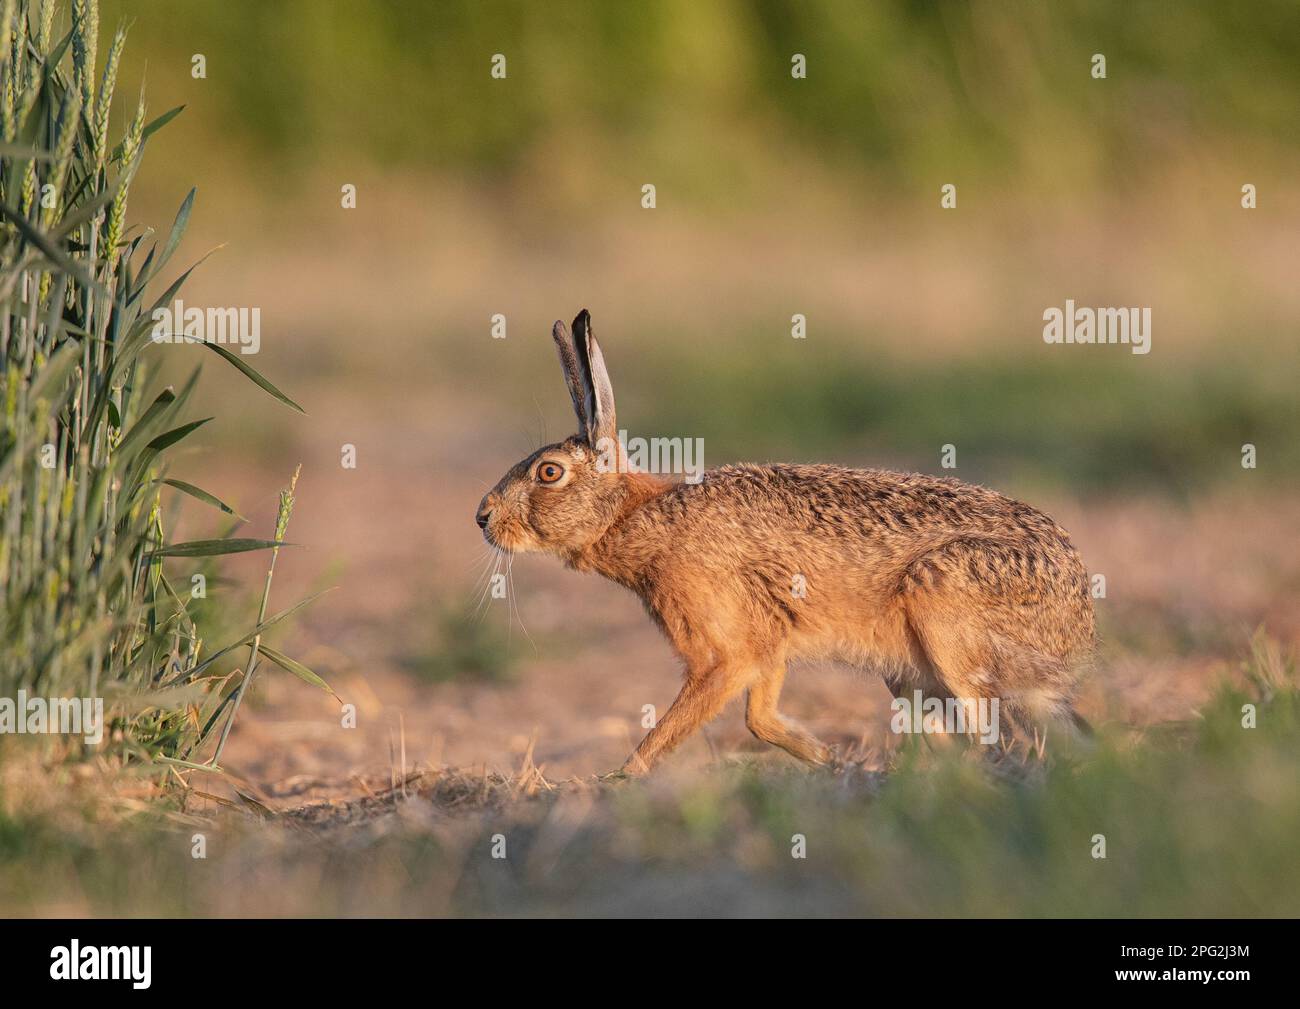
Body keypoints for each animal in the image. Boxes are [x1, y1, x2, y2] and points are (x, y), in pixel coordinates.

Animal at [476, 310, 1096, 774]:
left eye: (549, 473)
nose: (482, 518)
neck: (634, 516)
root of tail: (1079, 626)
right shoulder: (770, 641)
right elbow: (760, 718)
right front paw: (829, 760)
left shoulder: (729, 650)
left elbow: (679, 727)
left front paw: (615, 781)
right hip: (908, 672)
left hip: (947, 615)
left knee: (994, 733)